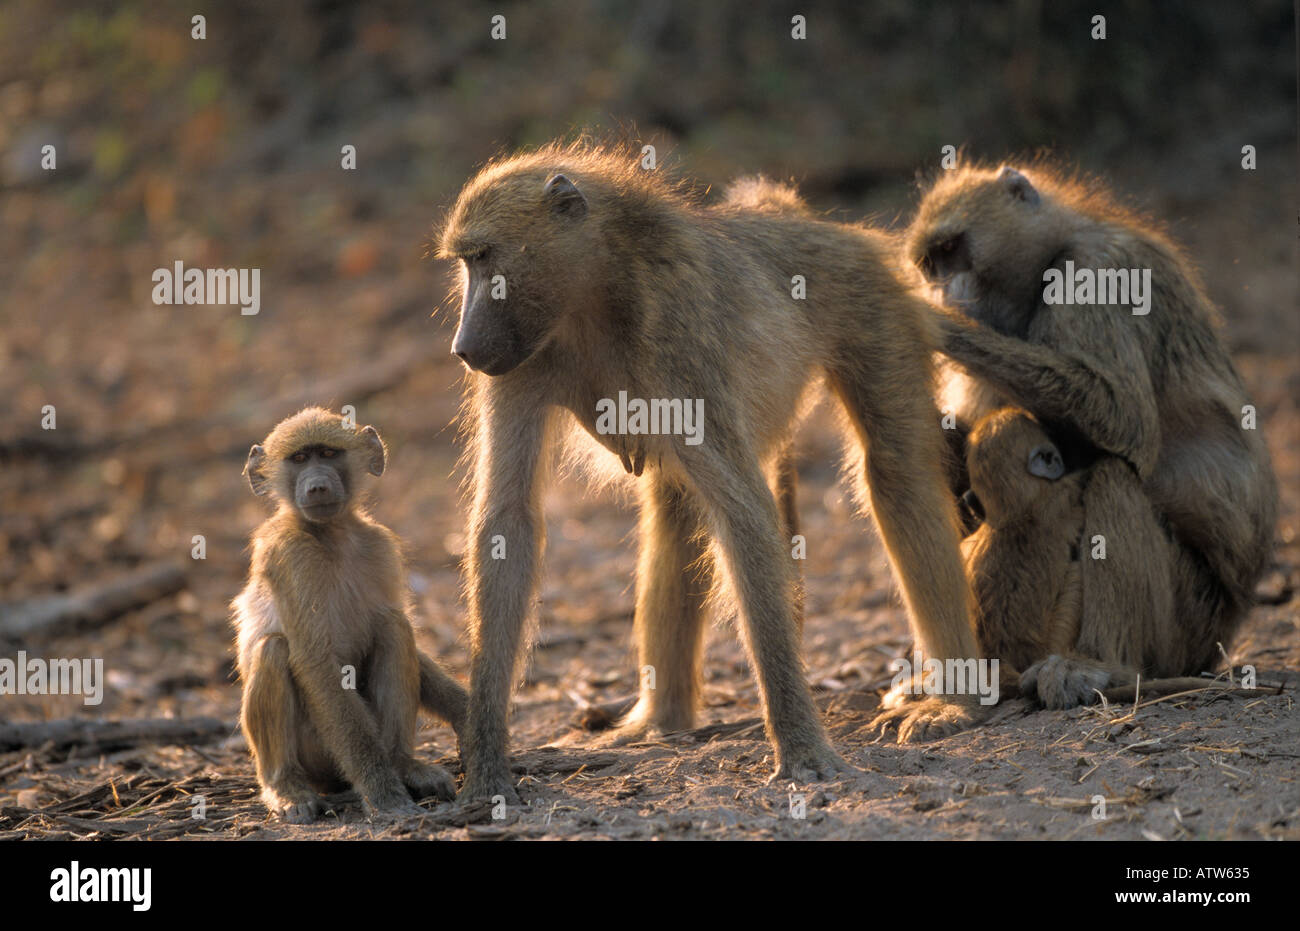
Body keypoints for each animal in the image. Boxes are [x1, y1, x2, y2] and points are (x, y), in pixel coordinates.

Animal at [231, 407, 469, 822]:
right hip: (317, 749)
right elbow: (314, 660)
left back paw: (403, 764)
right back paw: (286, 787)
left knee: (393, 627)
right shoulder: (290, 553)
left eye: (328, 454)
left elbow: (392, 620)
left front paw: (469, 715)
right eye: (299, 458)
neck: (332, 534)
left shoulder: (379, 545)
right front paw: (382, 792)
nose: (317, 487)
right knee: (274, 649)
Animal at [437, 142, 982, 802]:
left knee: (893, 473)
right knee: (674, 511)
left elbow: (741, 510)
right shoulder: (519, 360)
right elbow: (508, 522)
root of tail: (816, 226)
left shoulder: (677, 334)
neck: (593, 292)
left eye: (485, 259)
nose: (463, 349)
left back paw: (951, 700)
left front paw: (801, 744)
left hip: (872, 301)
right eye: (467, 263)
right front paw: (486, 760)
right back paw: (657, 720)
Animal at [906, 162, 1278, 707]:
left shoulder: (1094, 273)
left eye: (952, 249)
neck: (1050, 257)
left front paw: (933, 321)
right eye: (929, 263)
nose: (939, 291)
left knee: (1114, 478)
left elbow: (1125, 423)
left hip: (1189, 628)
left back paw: (1094, 664)